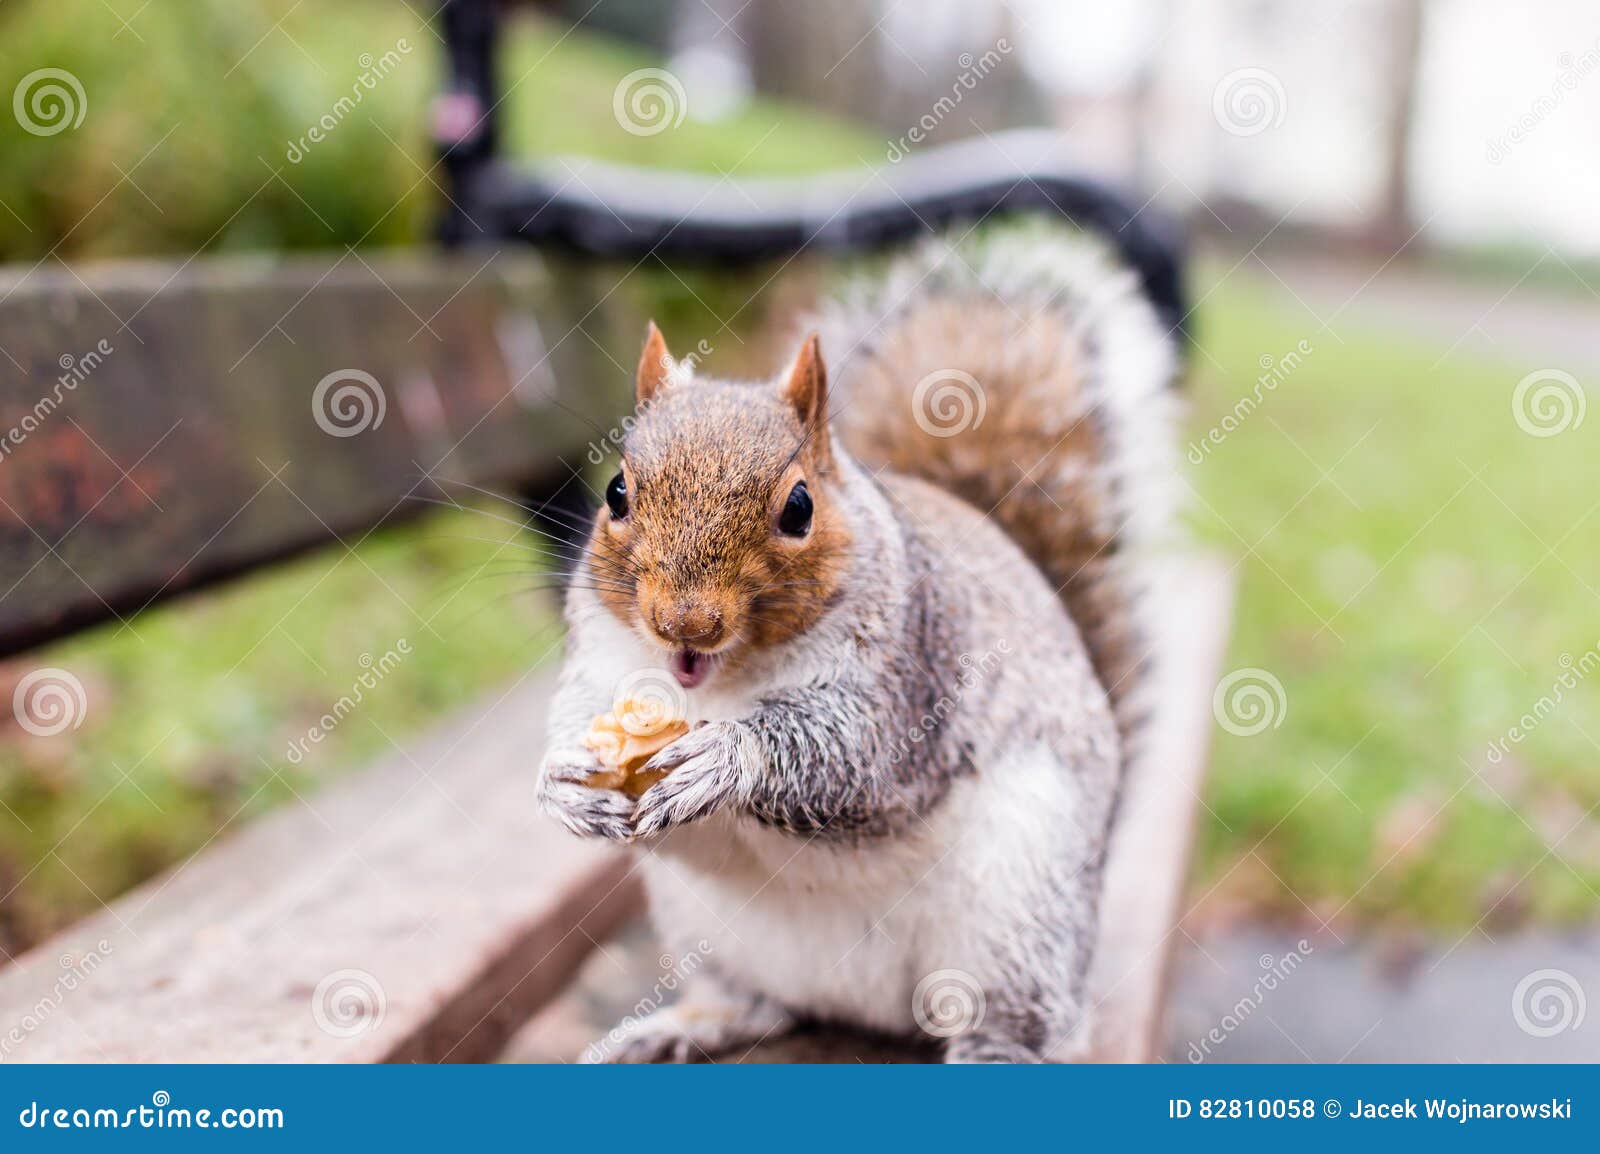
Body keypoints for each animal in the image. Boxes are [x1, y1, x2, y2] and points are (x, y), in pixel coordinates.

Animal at [537, 223, 1178, 1063]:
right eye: (616, 492)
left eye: (799, 507)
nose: (685, 624)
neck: (720, 682)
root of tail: (869, 1004)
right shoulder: (604, 657)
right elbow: (574, 709)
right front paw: (562, 780)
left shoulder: (913, 678)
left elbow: (856, 756)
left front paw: (729, 756)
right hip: (708, 931)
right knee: (758, 1005)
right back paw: (680, 1025)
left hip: (1020, 919)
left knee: (1018, 1023)